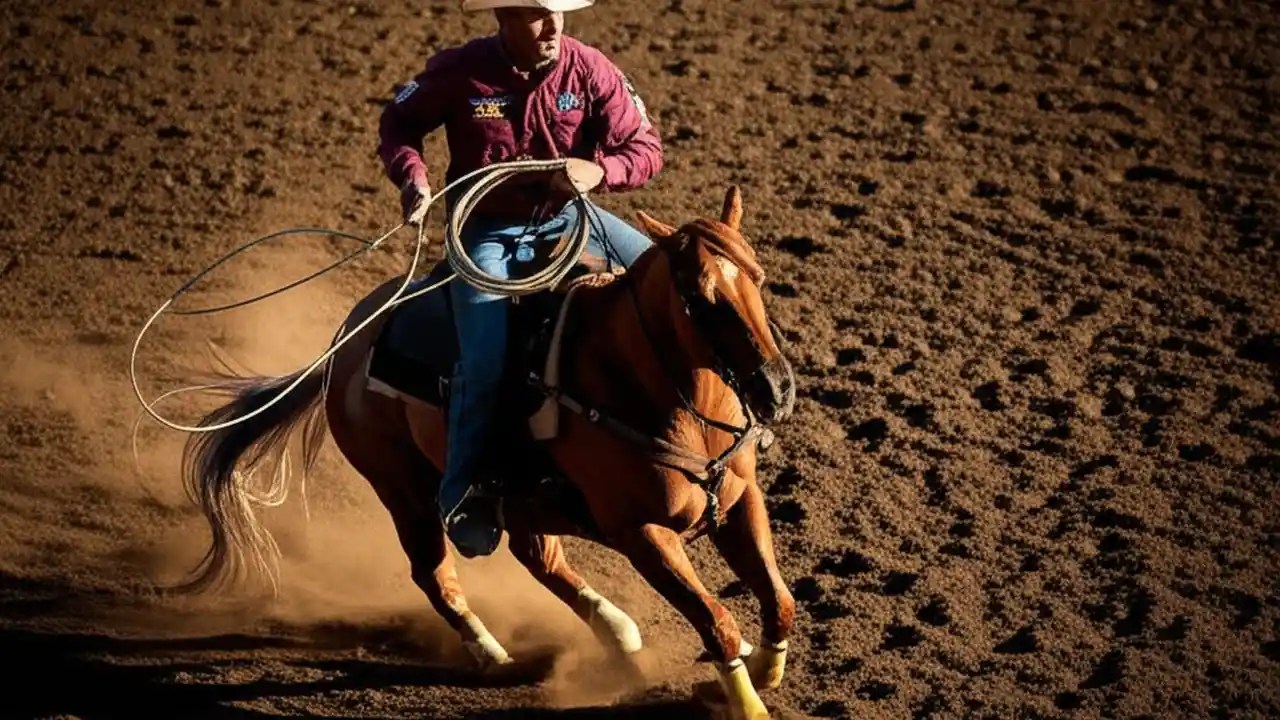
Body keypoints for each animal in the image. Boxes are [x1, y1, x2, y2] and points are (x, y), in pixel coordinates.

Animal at [178, 186, 797, 720]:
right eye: (698, 299)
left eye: (759, 277)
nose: (776, 387)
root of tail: (348, 340)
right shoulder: (640, 532)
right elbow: (717, 619)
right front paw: (744, 703)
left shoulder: (740, 500)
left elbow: (779, 599)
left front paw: (762, 670)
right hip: (403, 491)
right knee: (433, 571)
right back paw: (492, 653)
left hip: (518, 498)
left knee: (536, 557)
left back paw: (616, 630)